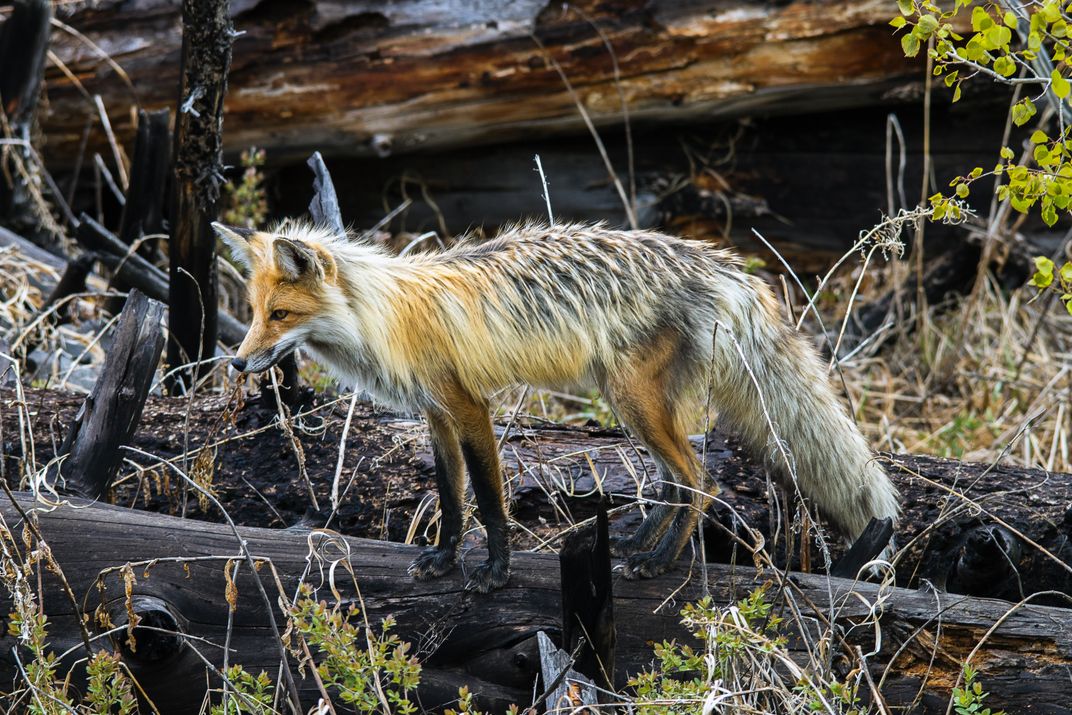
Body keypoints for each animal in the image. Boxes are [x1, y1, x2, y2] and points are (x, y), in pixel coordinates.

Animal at [214, 220, 899, 593]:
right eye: (253, 312)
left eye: (281, 315)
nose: (238, 365)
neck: (387, 319)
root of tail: (725, 266)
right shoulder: (435, 415)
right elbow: (450, 499)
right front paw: (442, 559)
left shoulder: (469, 407)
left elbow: (489, 501)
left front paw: (494, 572)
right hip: (636, 404)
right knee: (676, 478)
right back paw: (643, 541)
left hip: (632, 400)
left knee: (702, 478)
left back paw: (658, 560)